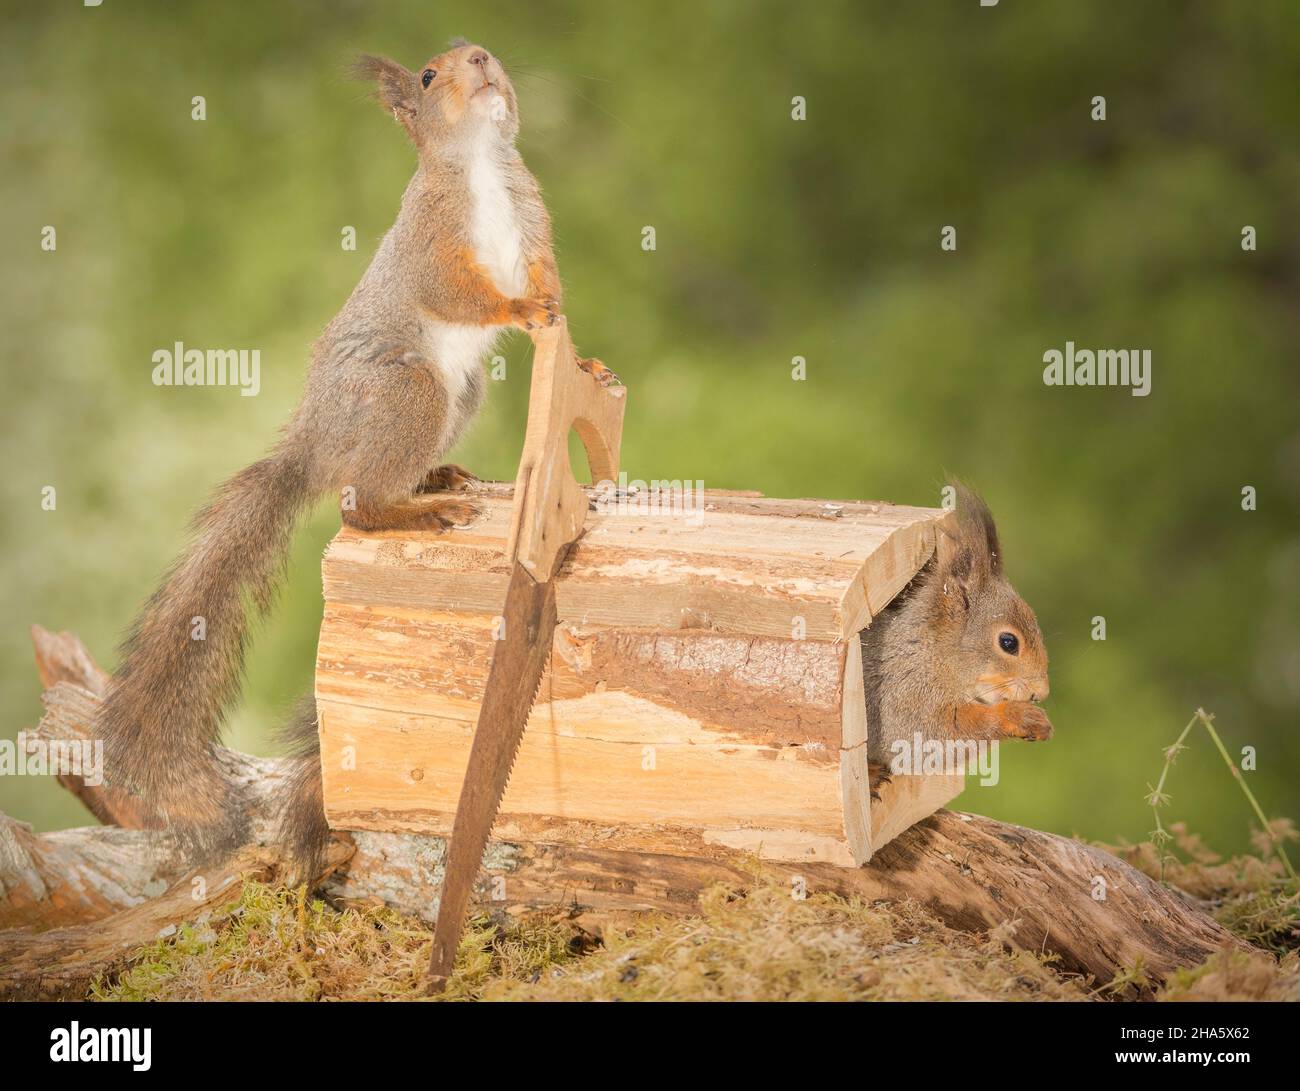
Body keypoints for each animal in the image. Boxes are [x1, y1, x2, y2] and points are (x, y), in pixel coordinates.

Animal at [97, 40, 609, 877]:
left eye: (481, 52)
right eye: (430, 77)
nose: (481, 57)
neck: (479, 162)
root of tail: (317, 443)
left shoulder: (533, 222)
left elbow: (550, 278)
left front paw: (584, 357)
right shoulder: (430, 244)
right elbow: (464, 294)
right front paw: (519, 310)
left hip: (457, 398)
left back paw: (438, 477)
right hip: (410, 393)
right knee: (359, 505)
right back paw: (422, 507)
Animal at [861, 485, 1052, 790]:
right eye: (1008, 642)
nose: (1040, 692)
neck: (932, 651)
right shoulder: (905, 693)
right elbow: (932, 738)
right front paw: (1016, 715)